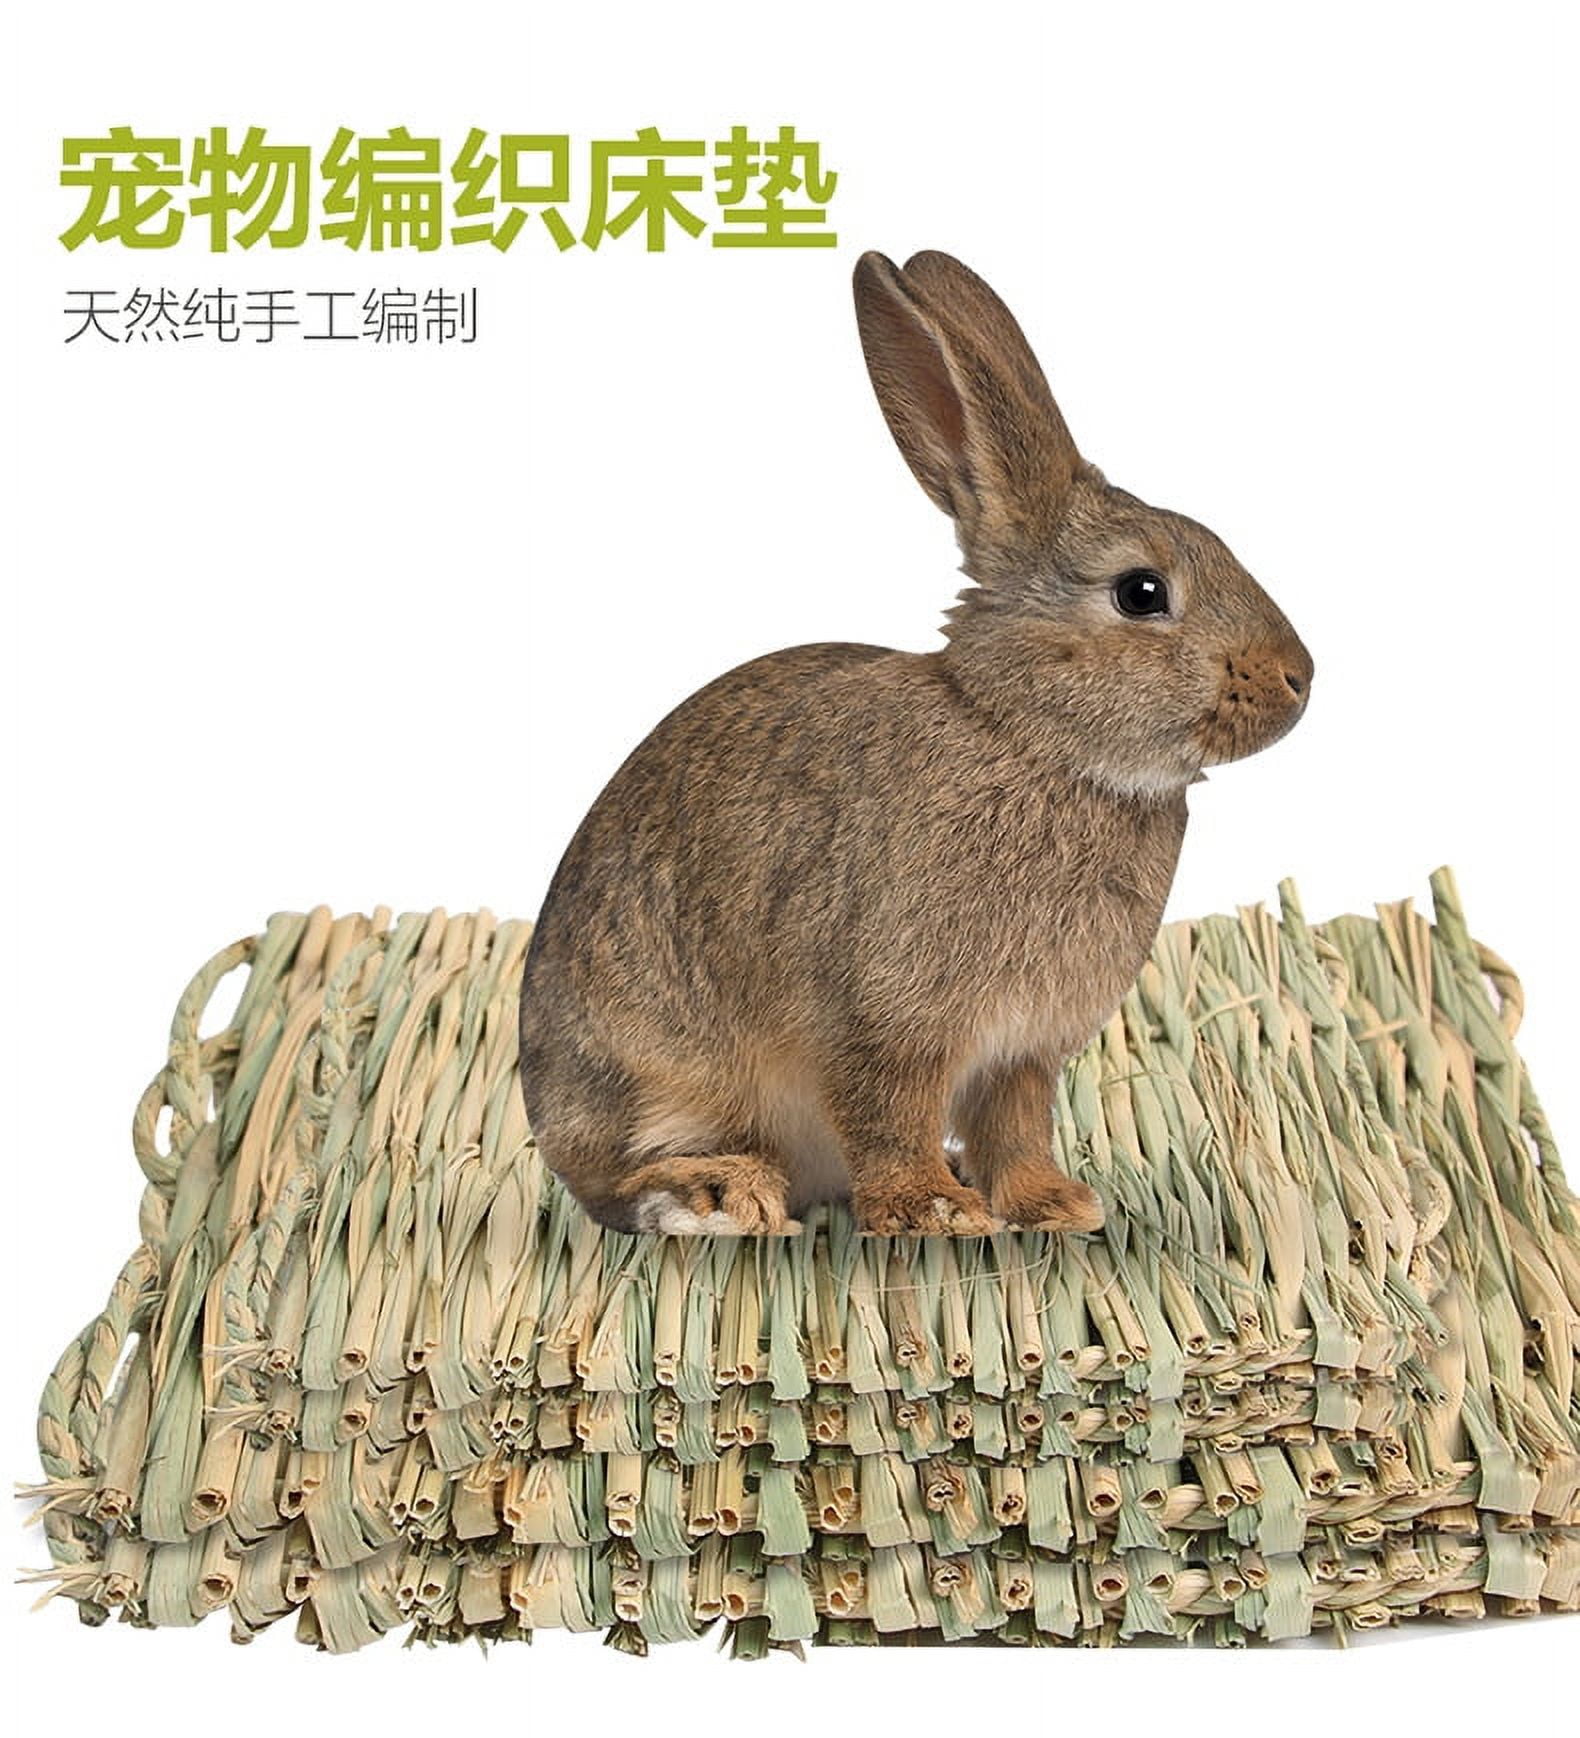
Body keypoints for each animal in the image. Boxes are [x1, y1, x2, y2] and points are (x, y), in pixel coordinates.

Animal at [519, 249, 1312, 1237]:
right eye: (1141, 592)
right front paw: (932, 1211)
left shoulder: (1022, 1052)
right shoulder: (884, 1019)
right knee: (611, 1183)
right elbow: (889, 1111)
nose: (1300, 678)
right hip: (650, 1071)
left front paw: (1052, 1204)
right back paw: (718, 1193)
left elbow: (1014, 1125)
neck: (1028, 737)